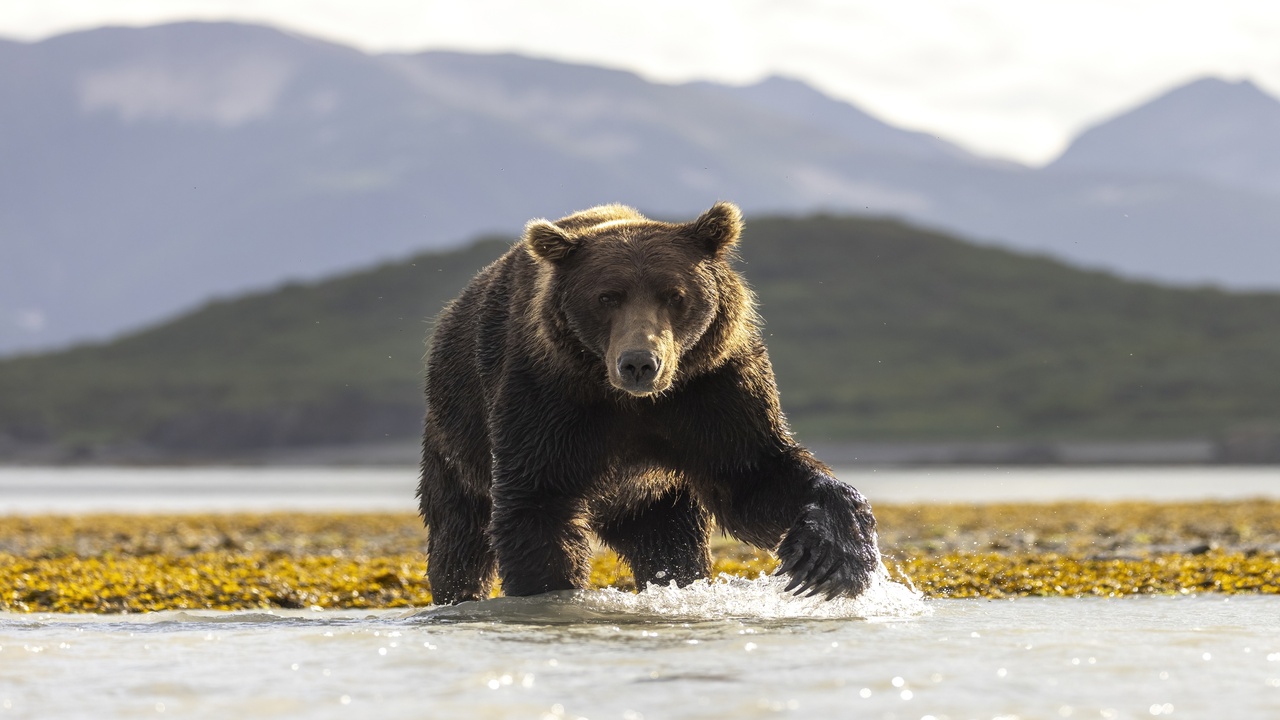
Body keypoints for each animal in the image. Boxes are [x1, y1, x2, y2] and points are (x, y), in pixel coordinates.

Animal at [417, 202, 879, 604]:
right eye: (607, 296)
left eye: (674, 295)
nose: (639, 363)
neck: (633, 402)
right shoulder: (548, 395)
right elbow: (536, 503)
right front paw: (549, 589)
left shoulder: (713, 388)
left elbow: (755, 473)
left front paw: (831, 556)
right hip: (456, 440)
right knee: (459, 535)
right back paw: (457, 592)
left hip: (653, 496)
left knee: (671, 543)